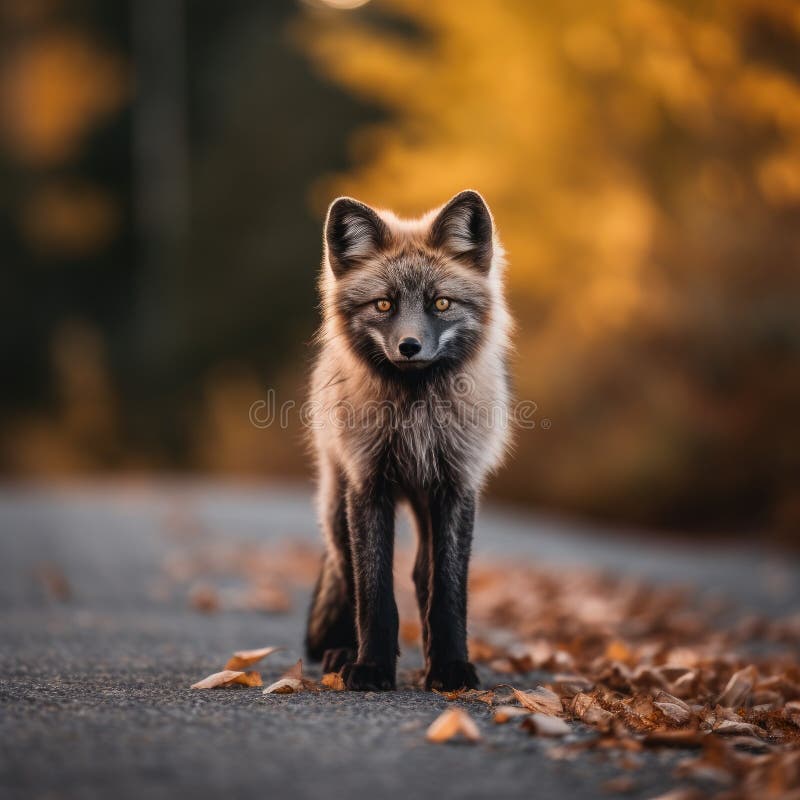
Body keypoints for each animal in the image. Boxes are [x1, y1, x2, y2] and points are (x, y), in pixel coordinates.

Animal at [304, 190, 512, 691]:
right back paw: (343, 652)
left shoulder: (456, 486)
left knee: (421, 575)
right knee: (347, 574)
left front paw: (451, 668)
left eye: (441, 303)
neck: (415, 417)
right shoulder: (368, 485)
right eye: (383, 305)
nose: (410, 347)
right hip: (337, 510)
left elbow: (448, 593)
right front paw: (372, 667)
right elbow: (374, 594)